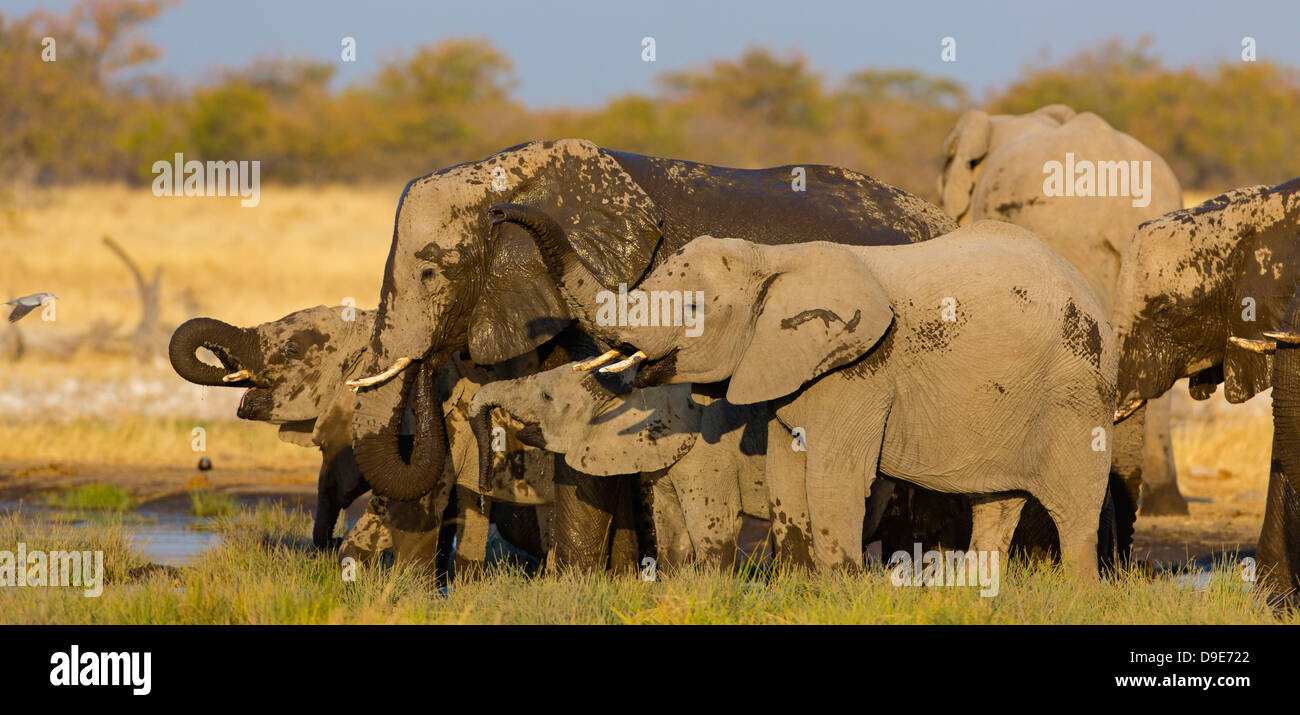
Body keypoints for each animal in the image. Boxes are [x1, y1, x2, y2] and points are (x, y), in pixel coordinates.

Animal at [493, 203, 1116, 578]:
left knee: (1074, 509)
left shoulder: (861, 367)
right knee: (996, 504)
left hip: (1077, 390)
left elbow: (835, 475)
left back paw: (1076, 595)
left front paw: (844, 593)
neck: (774, 260)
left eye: (692, 308)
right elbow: (787, 470)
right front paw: (801, 589)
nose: (499, 212)